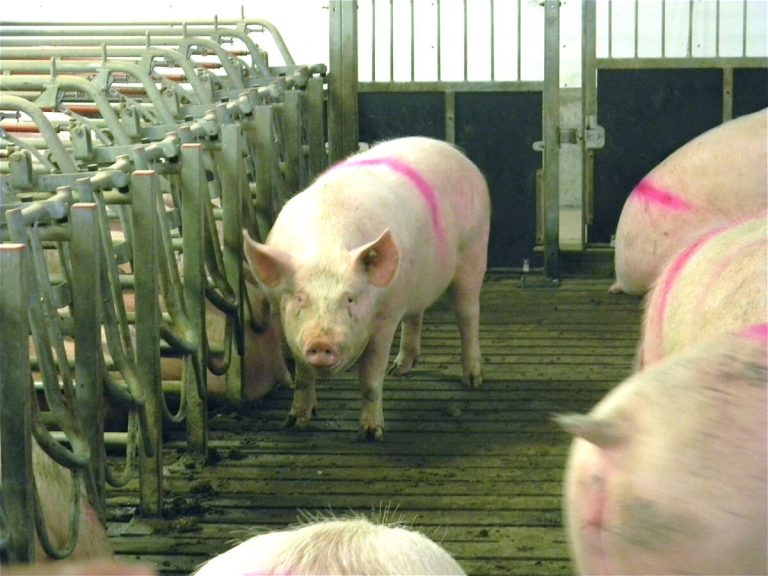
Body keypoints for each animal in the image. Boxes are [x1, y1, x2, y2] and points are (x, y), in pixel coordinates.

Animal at [243, 136, 491, 440]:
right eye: (300, 298)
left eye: (350, 299)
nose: (320, 343)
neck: (327, 249)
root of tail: (453, 151)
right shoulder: (288, 323)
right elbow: (303, 375)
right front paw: (295, 422)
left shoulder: (386, 318)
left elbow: (370, 377)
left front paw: (372, 434)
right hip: (415, 285)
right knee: (415, 315)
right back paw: (401, 369)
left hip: (475, 250)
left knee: (468, 315)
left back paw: (472, 381)